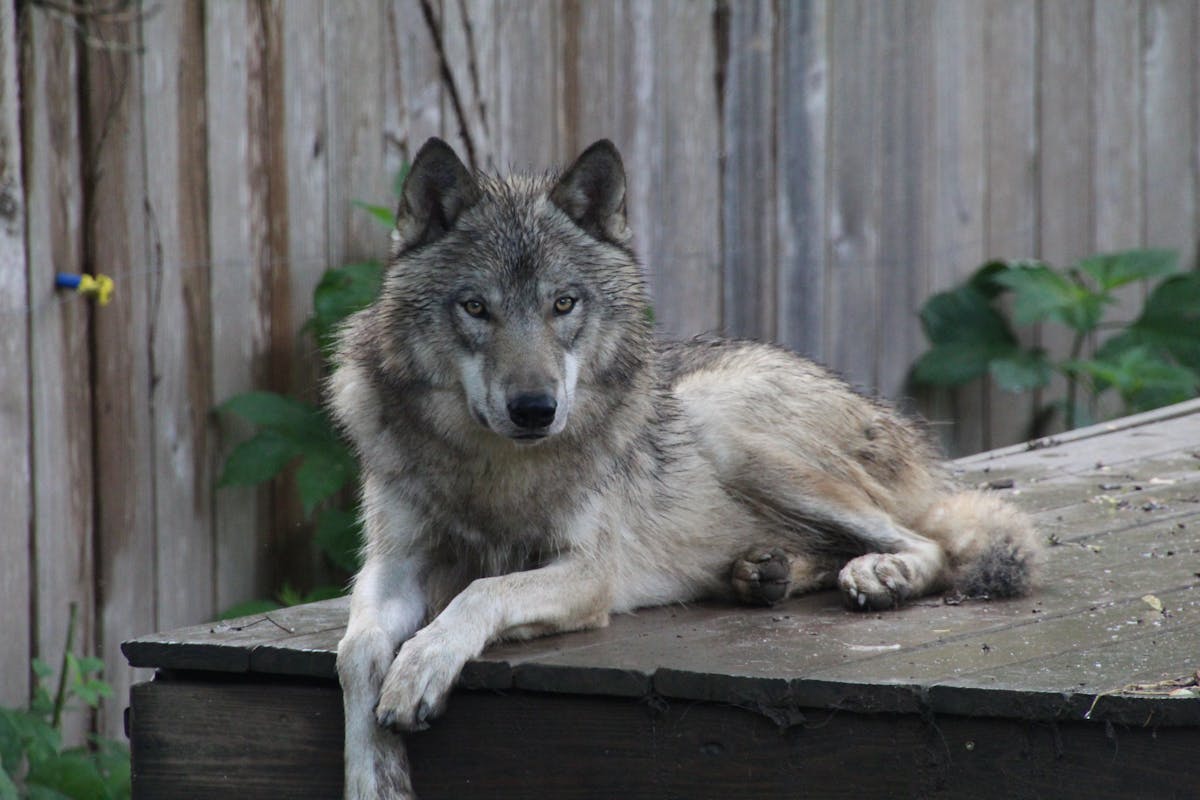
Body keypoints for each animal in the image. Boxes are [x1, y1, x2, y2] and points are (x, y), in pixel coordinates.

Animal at [329, 138, 1042, 798]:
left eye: (564, 304)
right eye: (476, 307)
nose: (535, 409)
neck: (493, 471)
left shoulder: (589, 574)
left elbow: (483, 590)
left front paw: (420, 666)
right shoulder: (393, 566)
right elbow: (354, 652)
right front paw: (374, 775)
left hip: (723, 424)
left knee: (926, 542)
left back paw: (878, 573)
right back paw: (767, 573)